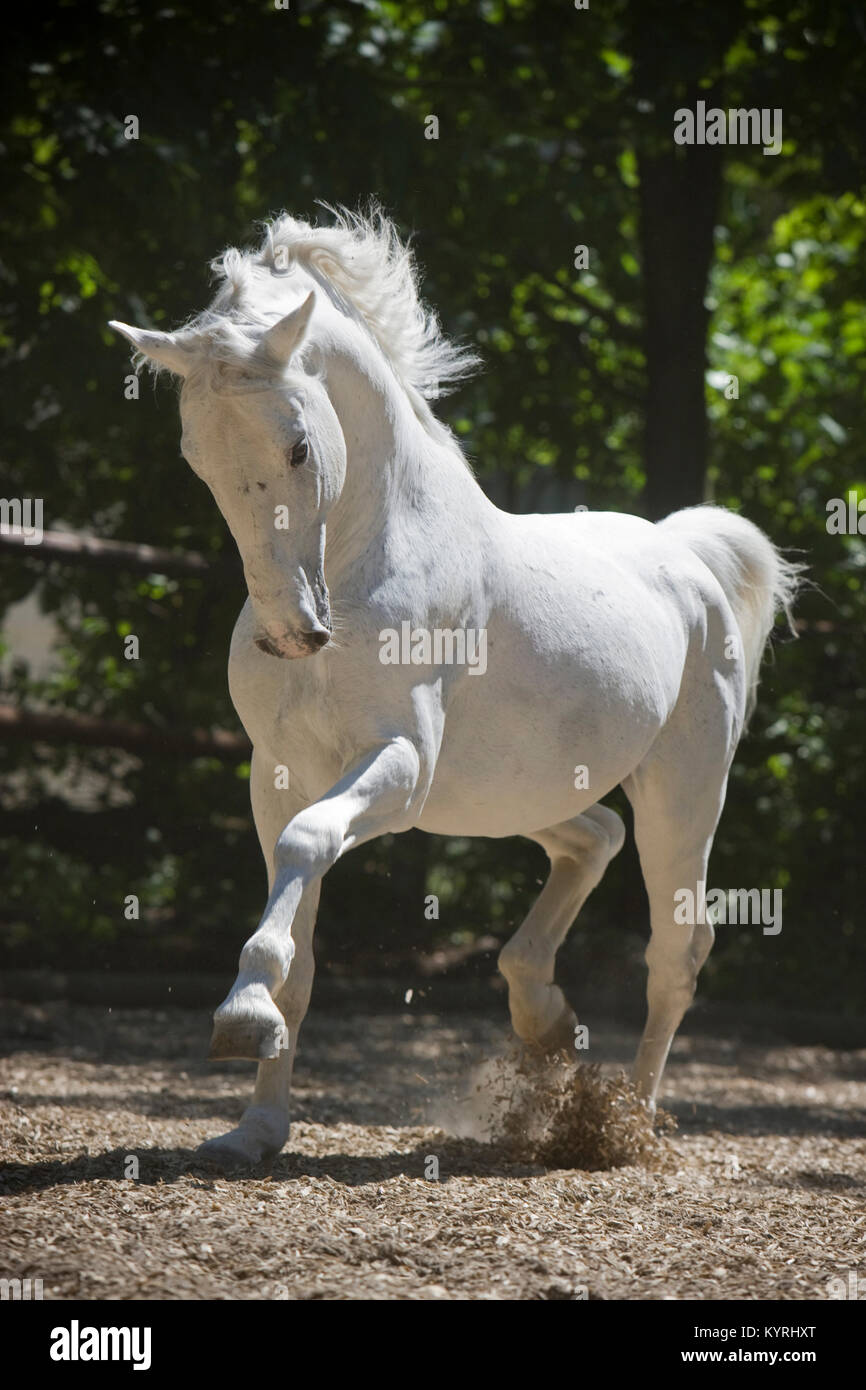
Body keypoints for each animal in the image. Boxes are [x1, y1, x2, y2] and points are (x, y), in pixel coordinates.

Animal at [110, 206, 800, 1167]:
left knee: (676, 947)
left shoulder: (399, 767)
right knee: (595, 839)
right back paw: (545, 1021)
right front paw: (255, 1126)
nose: (292, 633)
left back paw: (625, 1123)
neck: (363, 565)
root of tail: (685, 553)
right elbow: (303, 945)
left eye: (298, 446)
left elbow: (308, 842)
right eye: (194, 456)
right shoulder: (279, 774)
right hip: (506, 797)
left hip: (684, 789)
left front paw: (240, 1015)